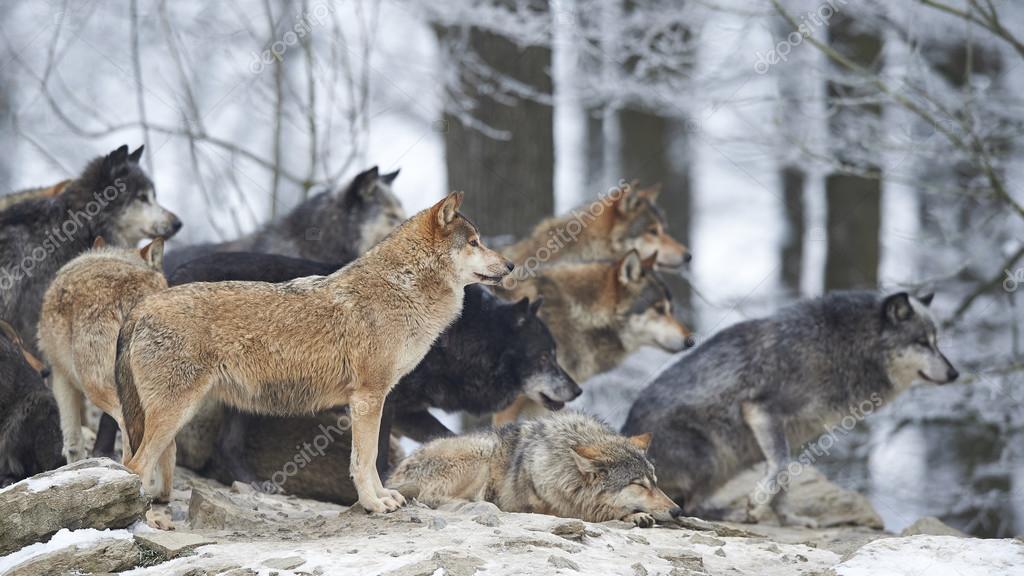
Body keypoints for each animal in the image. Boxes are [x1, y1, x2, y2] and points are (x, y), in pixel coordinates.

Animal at [116, 192, 514, 512]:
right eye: (475, 242)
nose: (510, 265)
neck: (401, 289)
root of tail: (141, 307)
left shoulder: (377, 400)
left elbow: (371, 460)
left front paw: (382, 498)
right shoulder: (368, 398)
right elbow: (366, 459)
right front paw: (373, 505)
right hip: (173, 414)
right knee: (134, 467)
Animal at [165, 251, 579, 483]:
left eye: (556, 353)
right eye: (545, 357)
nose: (577, 390)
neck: (460, 338)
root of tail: (172, 274)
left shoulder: (408, 410)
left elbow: (444, 436)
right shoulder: (384, 401)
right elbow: (376, 454)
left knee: (227, 446)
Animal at [389, 411, 682, 527]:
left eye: (655, 482)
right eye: (639, 484)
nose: (678, 510)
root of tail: (392, 476)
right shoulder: (554, 508)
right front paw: (633, 515)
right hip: (482, 450)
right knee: (431, 497)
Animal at [493, 250, 694, 424]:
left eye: (671, 309)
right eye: (659, 309)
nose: (691, 341)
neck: (576, 315)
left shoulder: (545, 403)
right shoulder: (507, 408)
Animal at [623, 292, 959, 526]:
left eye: (937, 342)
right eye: (921, 342)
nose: (954, 373)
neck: (839, 347)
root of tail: (624, 430)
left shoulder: (791, 432)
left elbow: (785, 478)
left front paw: (788, 519)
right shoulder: (762, 410)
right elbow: (780, 467)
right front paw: (756, 502)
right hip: (710, 458)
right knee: (688, 506)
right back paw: (732, 513)